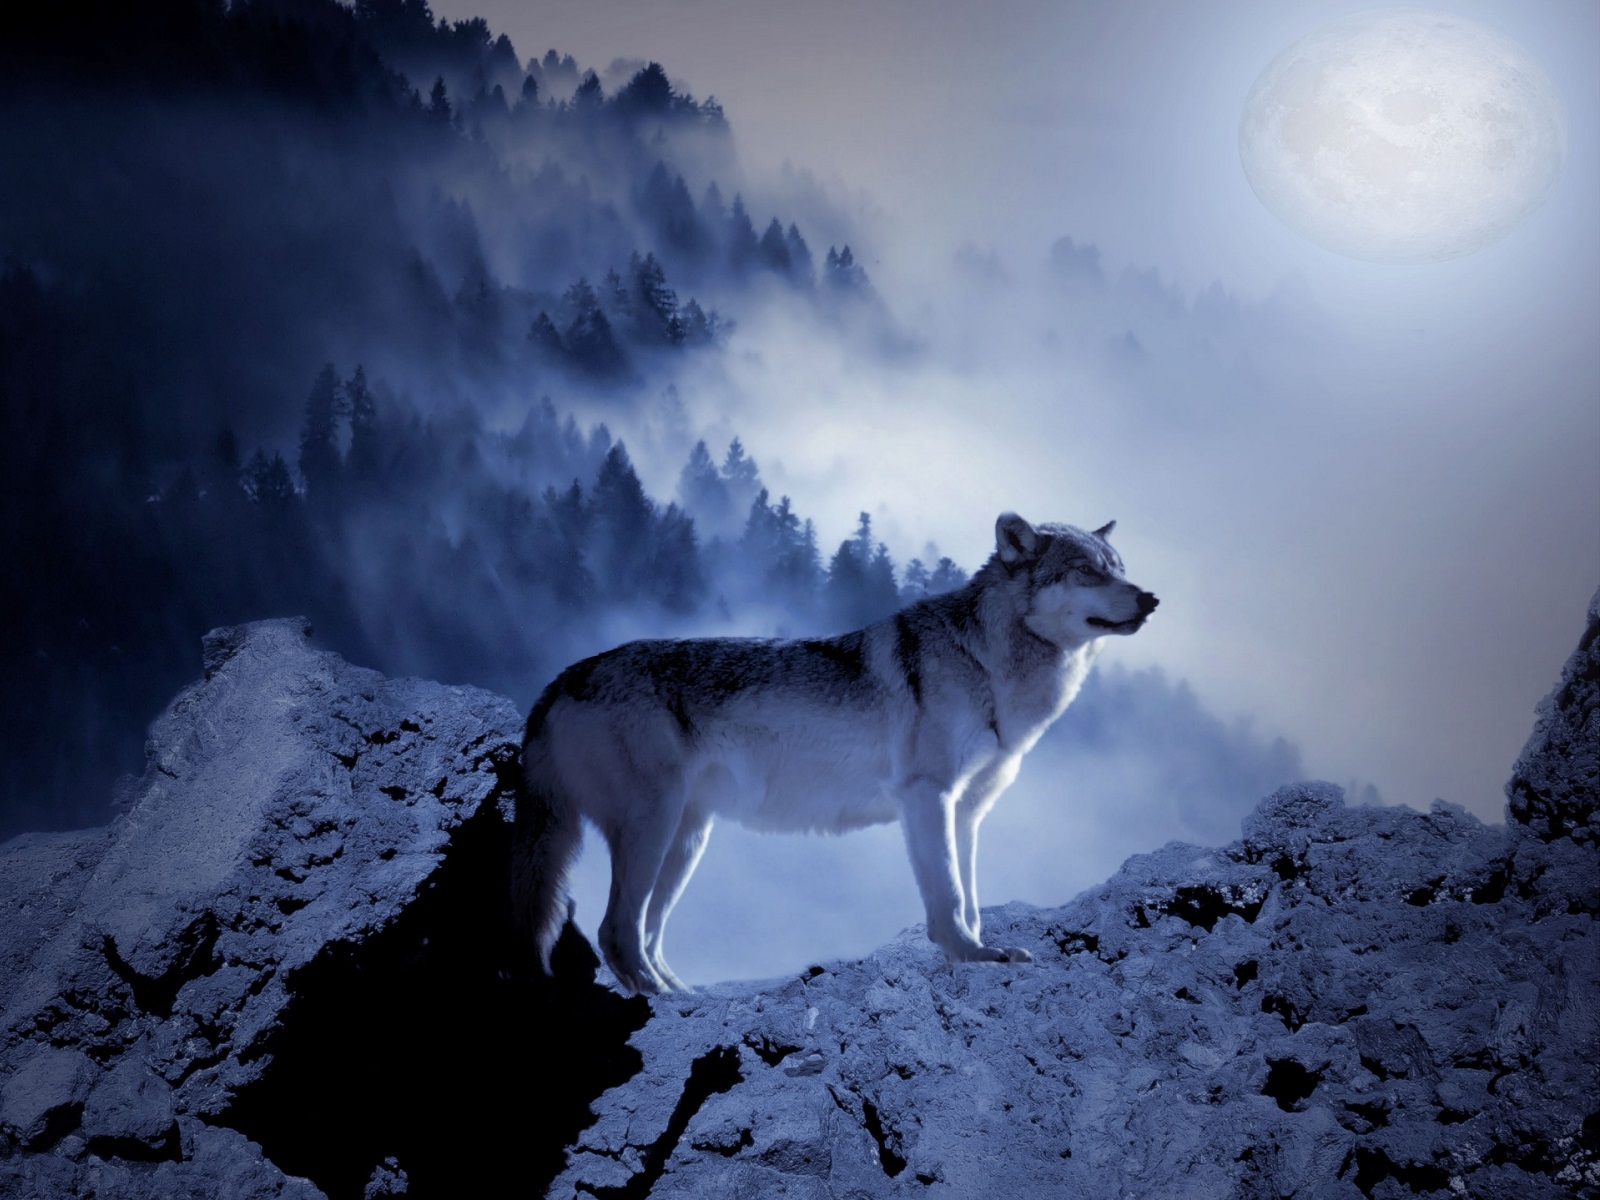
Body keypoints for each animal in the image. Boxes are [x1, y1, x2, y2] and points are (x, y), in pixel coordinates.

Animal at [511, 513, 1158, 994]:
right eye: (1086, 572)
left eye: (1120, 570)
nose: (1151, 598)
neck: (986, 664)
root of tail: (560, 680)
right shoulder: (926, 798)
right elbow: (949, 898)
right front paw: (969, 956)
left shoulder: (966, 812)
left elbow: (971, 899)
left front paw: (978, 951)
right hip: (655, 828)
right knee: (616, 932)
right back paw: (665, 1004)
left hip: (687, 840)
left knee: (645, 935)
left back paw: (684, 995)